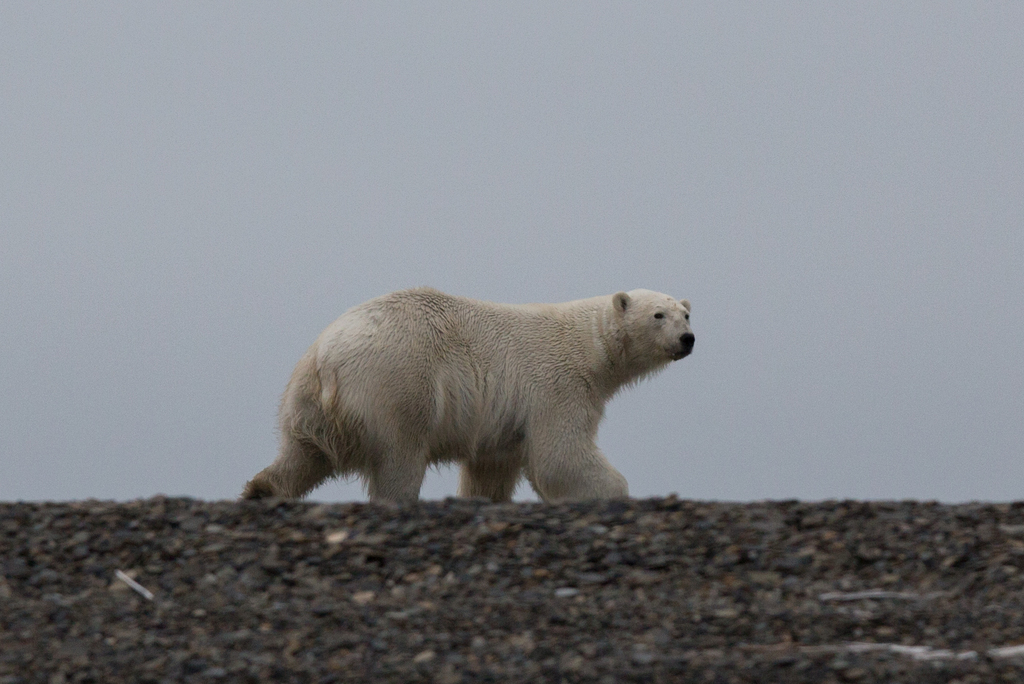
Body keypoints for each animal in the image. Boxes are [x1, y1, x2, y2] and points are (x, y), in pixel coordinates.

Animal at [242, 287, 694, 503]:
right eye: (659, 314)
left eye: (687, 313)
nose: (687, 339)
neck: (588, 345)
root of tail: (328, 357)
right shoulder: (557, 386)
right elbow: (559, 456)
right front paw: (615, 490)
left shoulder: (503, 423)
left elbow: (490, 469)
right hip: (396, 387)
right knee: (398, 459)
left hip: (304, 404)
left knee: (302, 456)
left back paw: (262, 491)